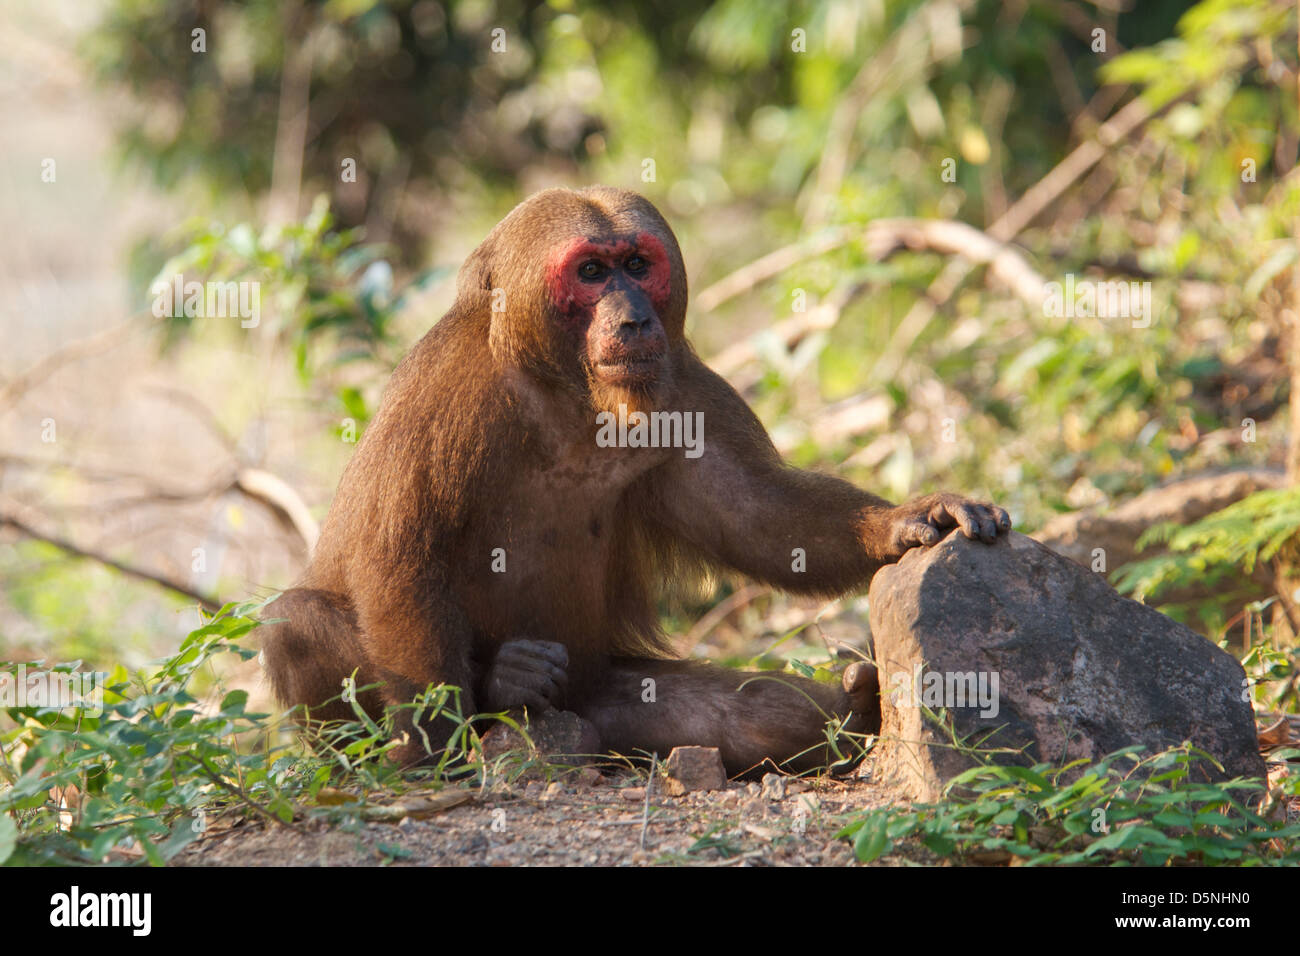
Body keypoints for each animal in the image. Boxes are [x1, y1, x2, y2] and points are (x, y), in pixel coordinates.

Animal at [260, 186, 1011, 776]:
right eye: (592, 272)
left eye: (637, 266)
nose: (633, 317)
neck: (564, 389)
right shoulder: (443, 391)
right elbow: (400, 558)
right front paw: (432, 749)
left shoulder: (684, 386)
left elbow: (761, 521)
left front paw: (906, 519)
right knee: (294, 621)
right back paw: (502, 687)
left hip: (600, 690)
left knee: (733, 713)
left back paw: (849, 714)